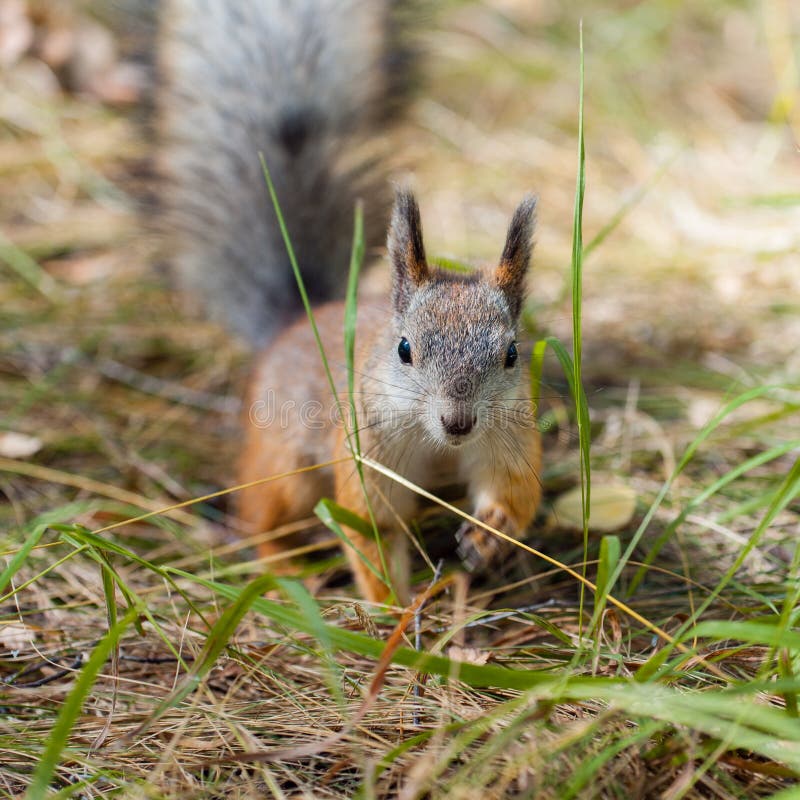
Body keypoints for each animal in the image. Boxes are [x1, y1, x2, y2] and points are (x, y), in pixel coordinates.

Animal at [156, 1, 542, 603]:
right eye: (404, 350)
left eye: (511, 355)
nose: (458, 423)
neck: (438, 447)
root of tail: (296, 322)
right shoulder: (365, 451)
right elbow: (371, 528)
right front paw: (392, 609)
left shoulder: (511, 434)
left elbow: (518, 493)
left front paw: (492, 531)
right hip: (283, 463)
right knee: (260, 518)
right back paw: (287, 570)